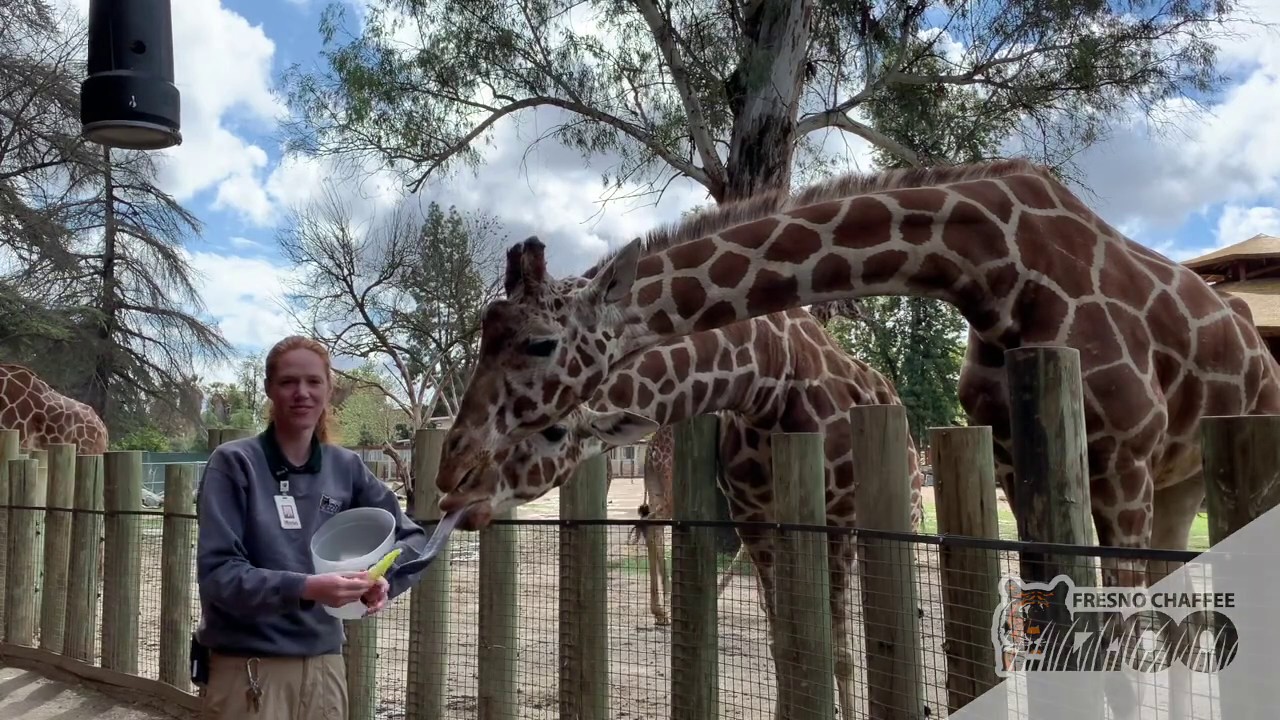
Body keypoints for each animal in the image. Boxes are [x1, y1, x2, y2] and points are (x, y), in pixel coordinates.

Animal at [438, 158, 1280, 600]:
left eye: (540, 344)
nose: (453, 477)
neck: (998, 269)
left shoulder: (1119, 463)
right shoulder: (1017, 469)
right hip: (1177, 486)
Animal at [443, 290, 927, 719]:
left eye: (552, 430)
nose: (454, 488)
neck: (768, 378)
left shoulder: (838, 517)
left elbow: (834, 650)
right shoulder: (754, 518)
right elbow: (785, 644)